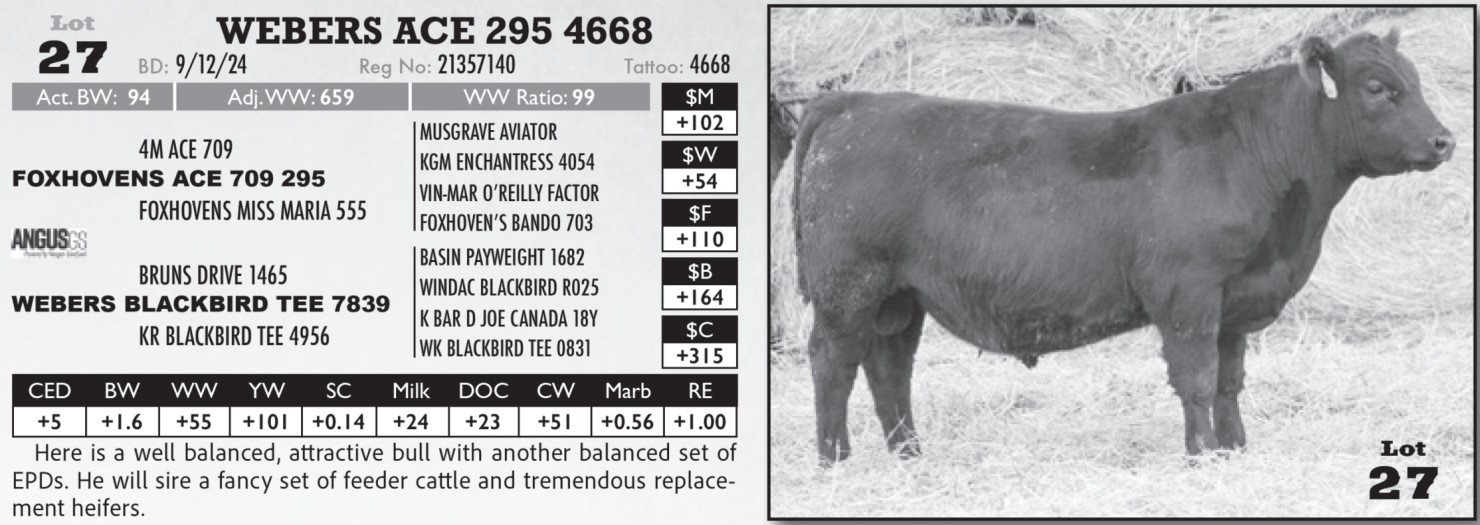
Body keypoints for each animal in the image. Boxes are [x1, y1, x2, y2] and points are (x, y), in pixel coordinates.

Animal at [790, 30, 1453, 464]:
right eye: (1377, 87)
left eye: (1418, 81)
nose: (1445, 140)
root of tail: (854, 101)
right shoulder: (1189, 294)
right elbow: (1196, 377)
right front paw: (1202, 454)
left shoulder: (1234, 300)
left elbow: (1229, 380)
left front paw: (1236, 449)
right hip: (848, 286)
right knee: (832, 362)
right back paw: (835, 459)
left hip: (900, 297)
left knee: (888, 367)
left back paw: (909, 454)